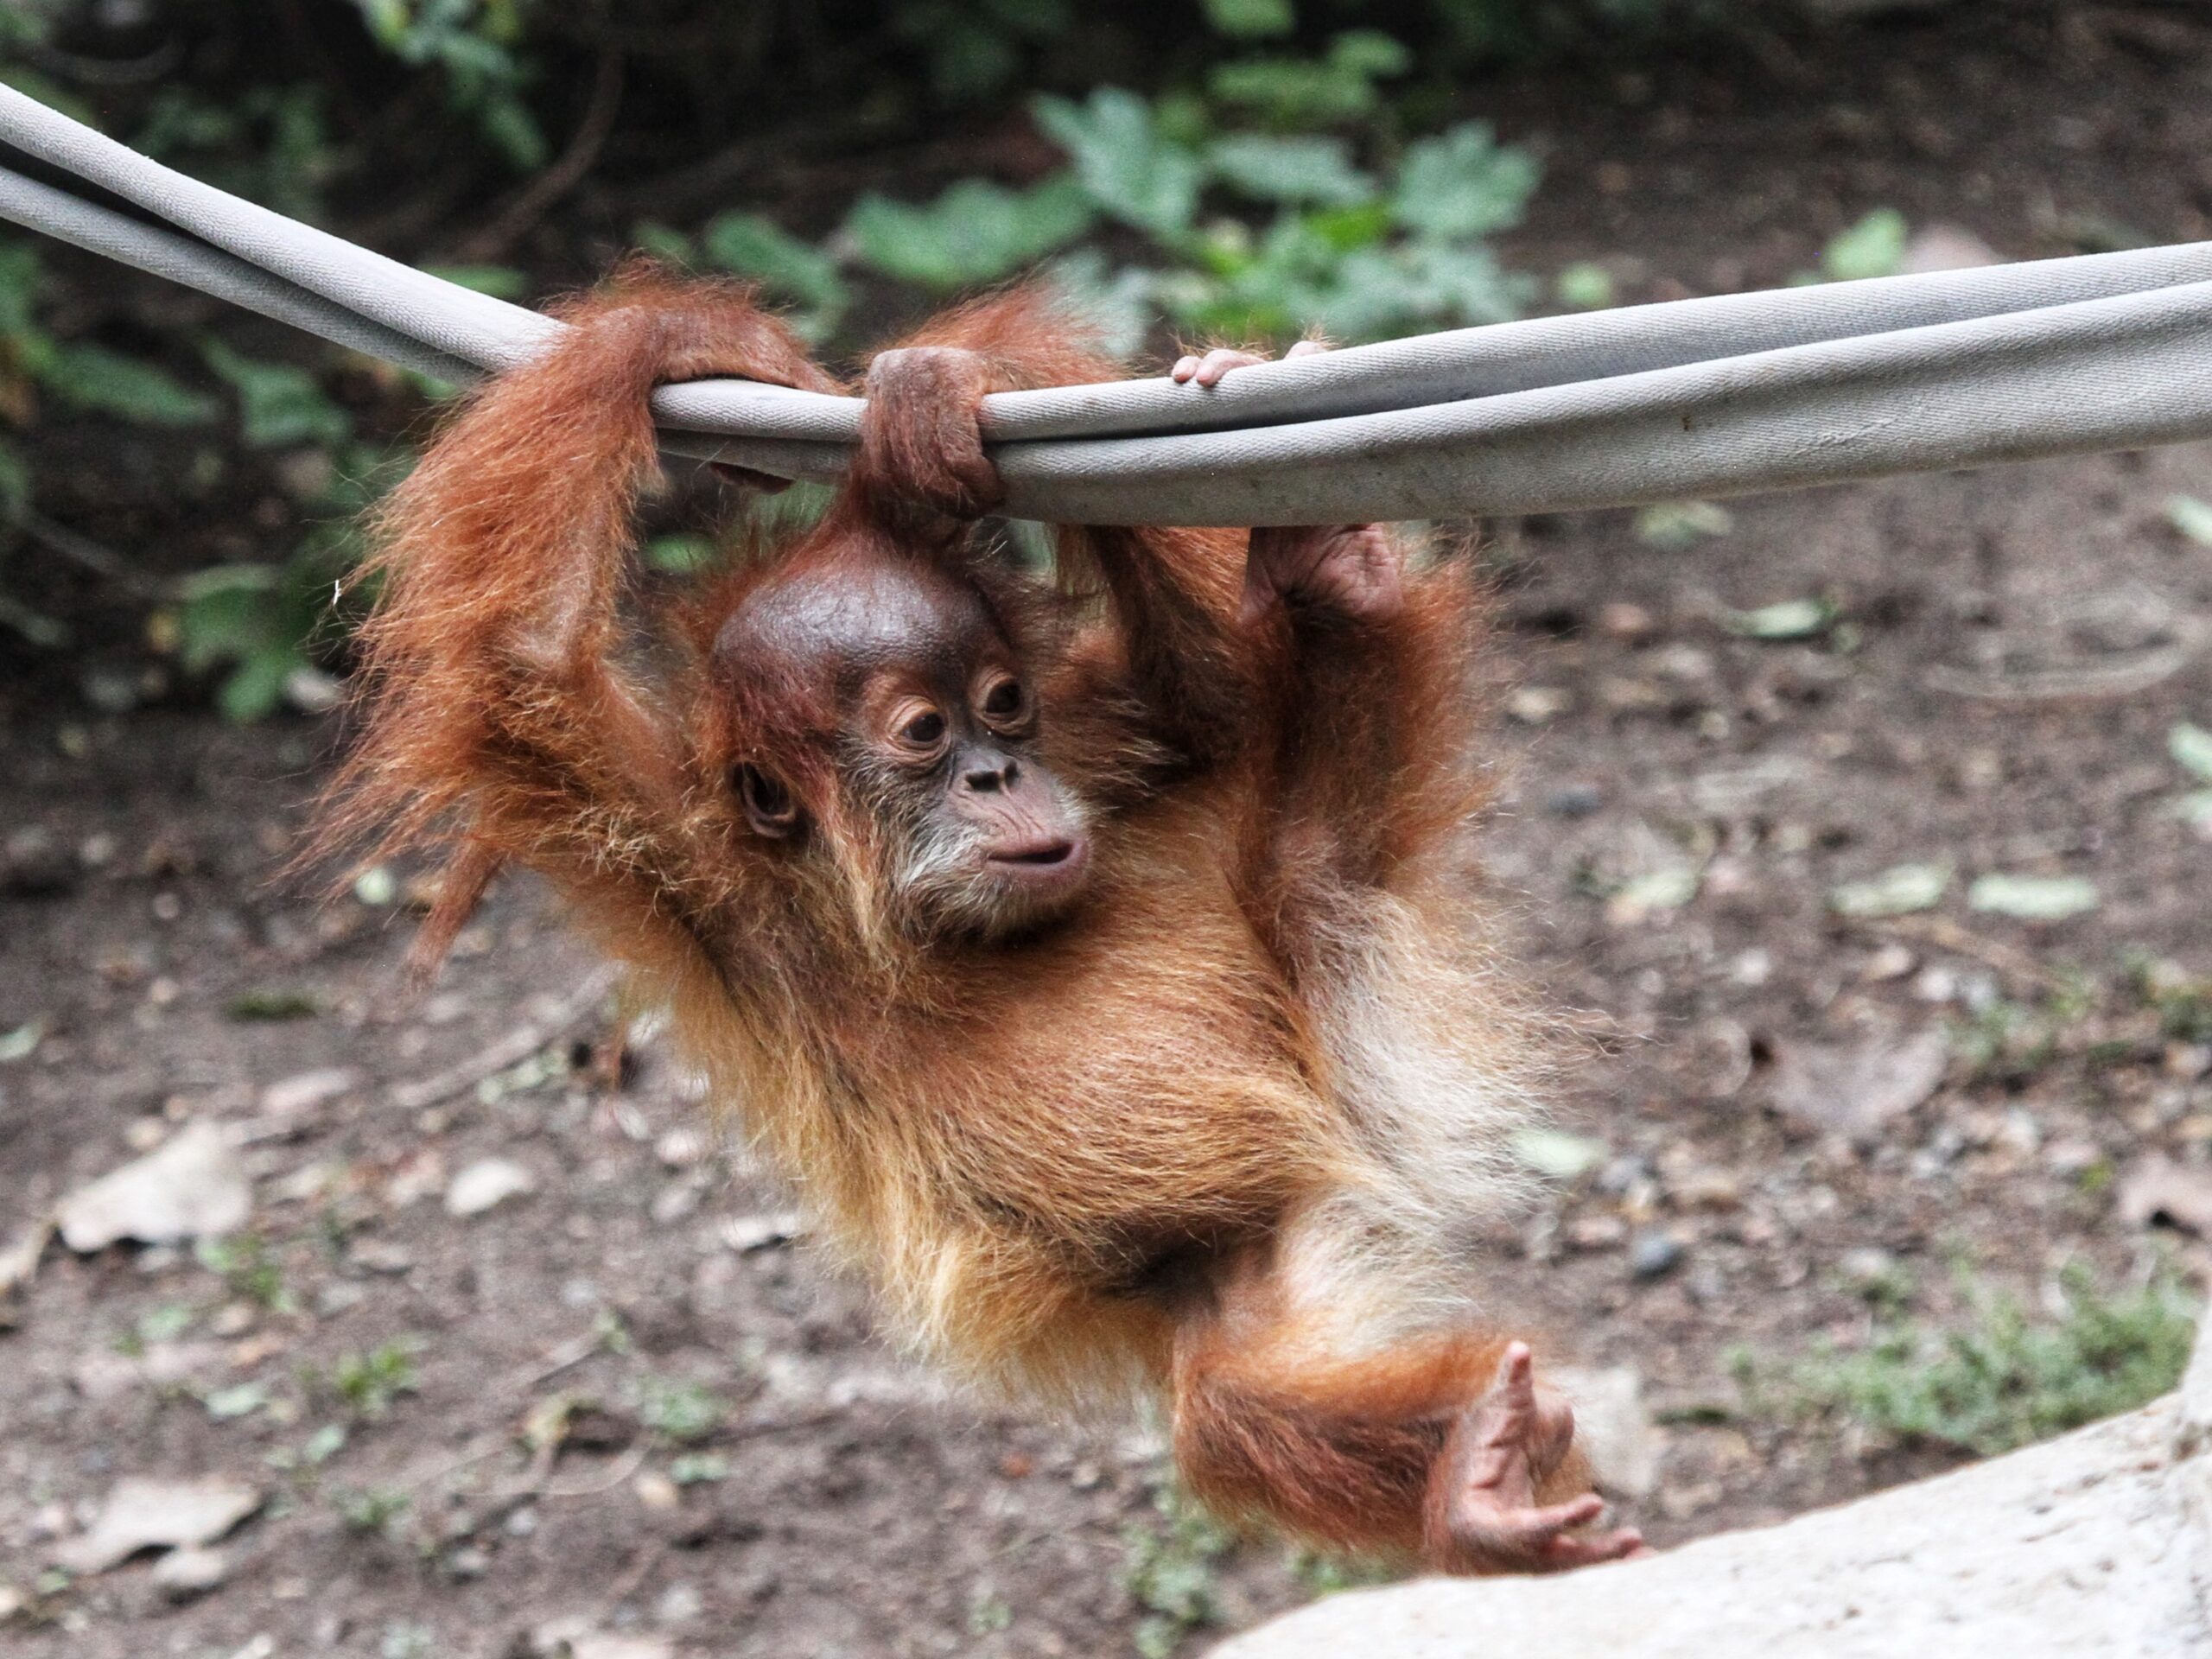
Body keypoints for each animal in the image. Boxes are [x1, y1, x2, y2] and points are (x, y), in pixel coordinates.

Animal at [319, 268, 1644, 1575]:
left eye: (1002, 706)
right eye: (924, 733)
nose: (999, 776)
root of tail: (1346, 1147)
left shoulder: (1090, 733)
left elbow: (1206, 704)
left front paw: (931, 389)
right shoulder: (674, 857)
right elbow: (528, 658)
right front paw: (699, 343)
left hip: (1326, 995)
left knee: (1315, 862)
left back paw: (1331, 576)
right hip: (1238, 1263)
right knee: (1235, 1402)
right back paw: (1478, 1471)